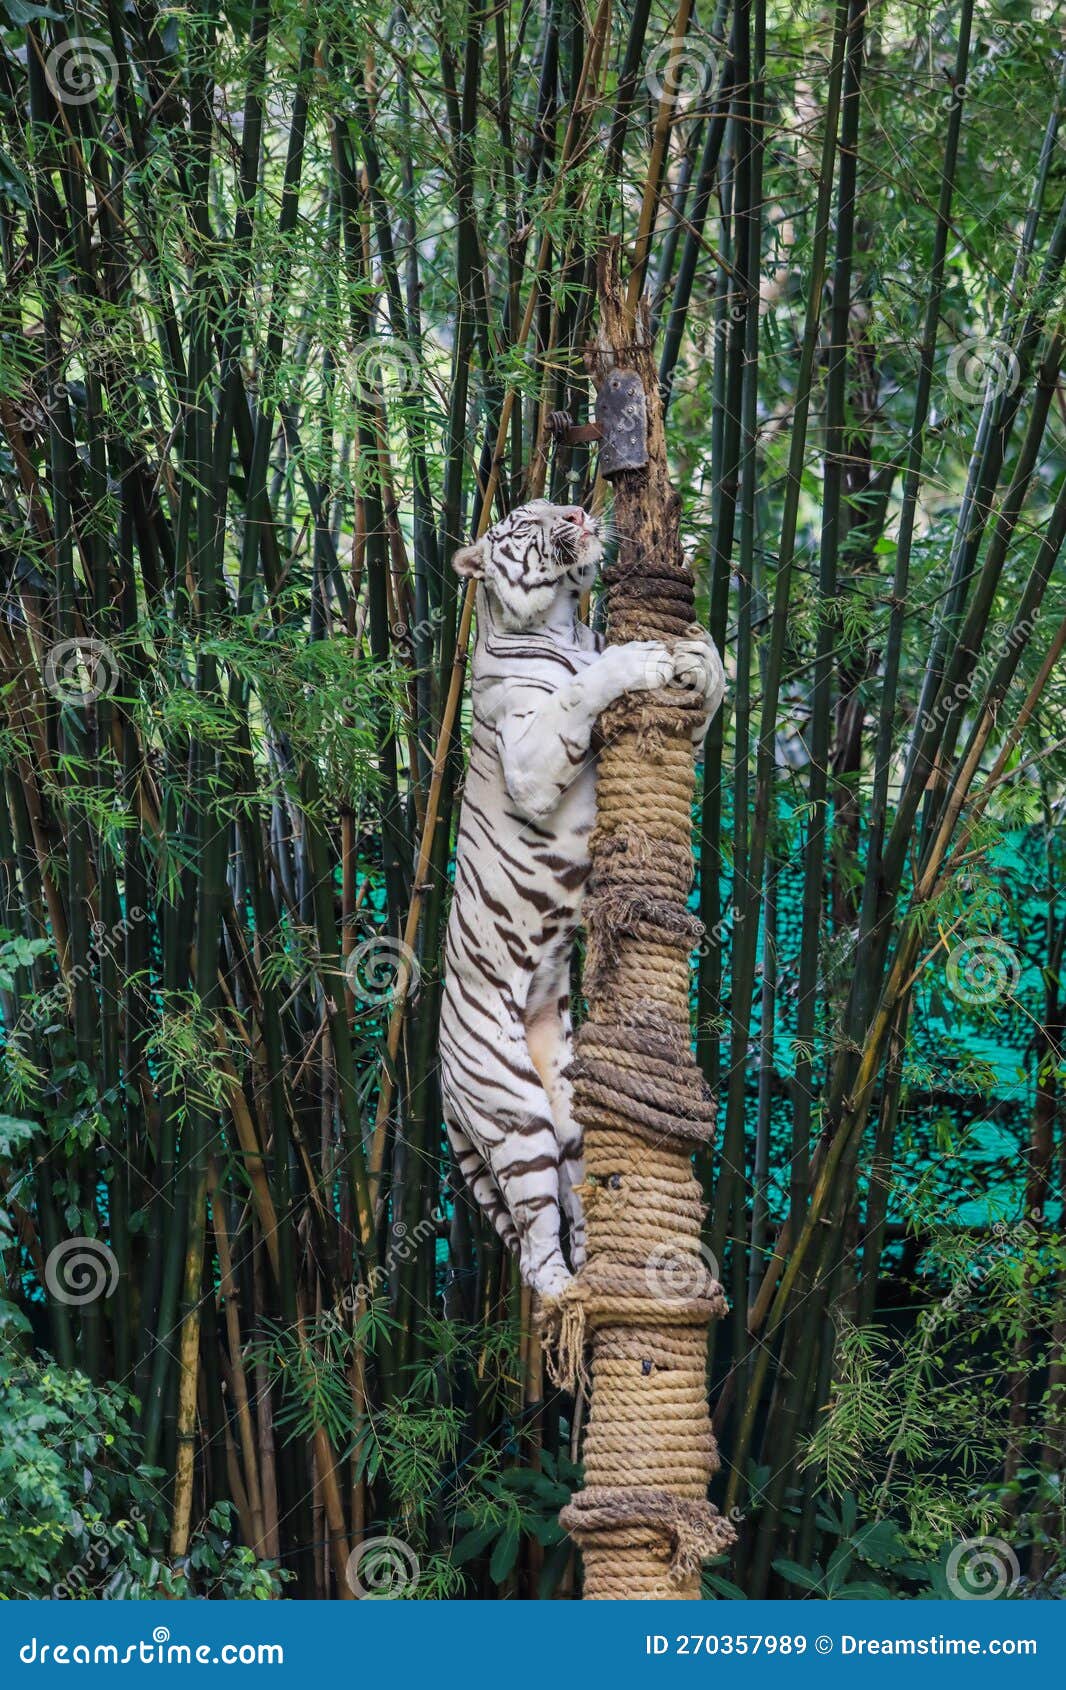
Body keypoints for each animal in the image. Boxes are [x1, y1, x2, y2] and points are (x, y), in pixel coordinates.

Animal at [439, 499, 725, 1297]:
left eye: (550, 502)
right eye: (521, 521)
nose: (572, 509)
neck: (566, 621)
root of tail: (441, 1085)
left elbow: (714, 681)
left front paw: (697, 651)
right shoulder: (531, 753)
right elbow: (578, 691)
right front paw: (634, 662)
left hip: (569, 1108)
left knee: (579, 1192)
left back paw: (608, 1272)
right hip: (514, 1115)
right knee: (535, 1246)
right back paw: (569, 1290)